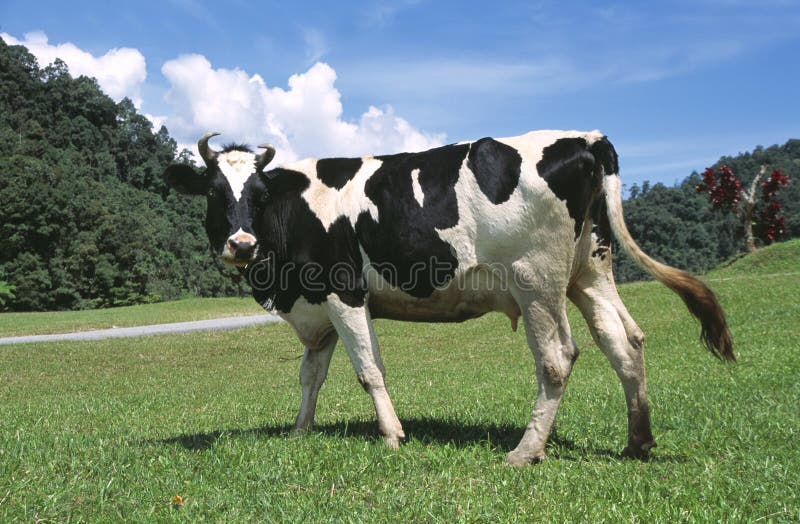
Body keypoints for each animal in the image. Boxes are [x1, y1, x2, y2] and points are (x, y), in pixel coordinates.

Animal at [163, 130, 733, 465]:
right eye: (215, 192)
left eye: (258, 195)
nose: (241, 244)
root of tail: (586, 138)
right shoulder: (315, 306)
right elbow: (311, 376)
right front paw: (302, 431)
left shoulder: (344, 292)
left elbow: (369, 371)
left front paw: (392, 435)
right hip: (589, 272)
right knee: (624, 342)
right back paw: (638, 440)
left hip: (536, 280)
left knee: (557, 358)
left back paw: (525, 451)